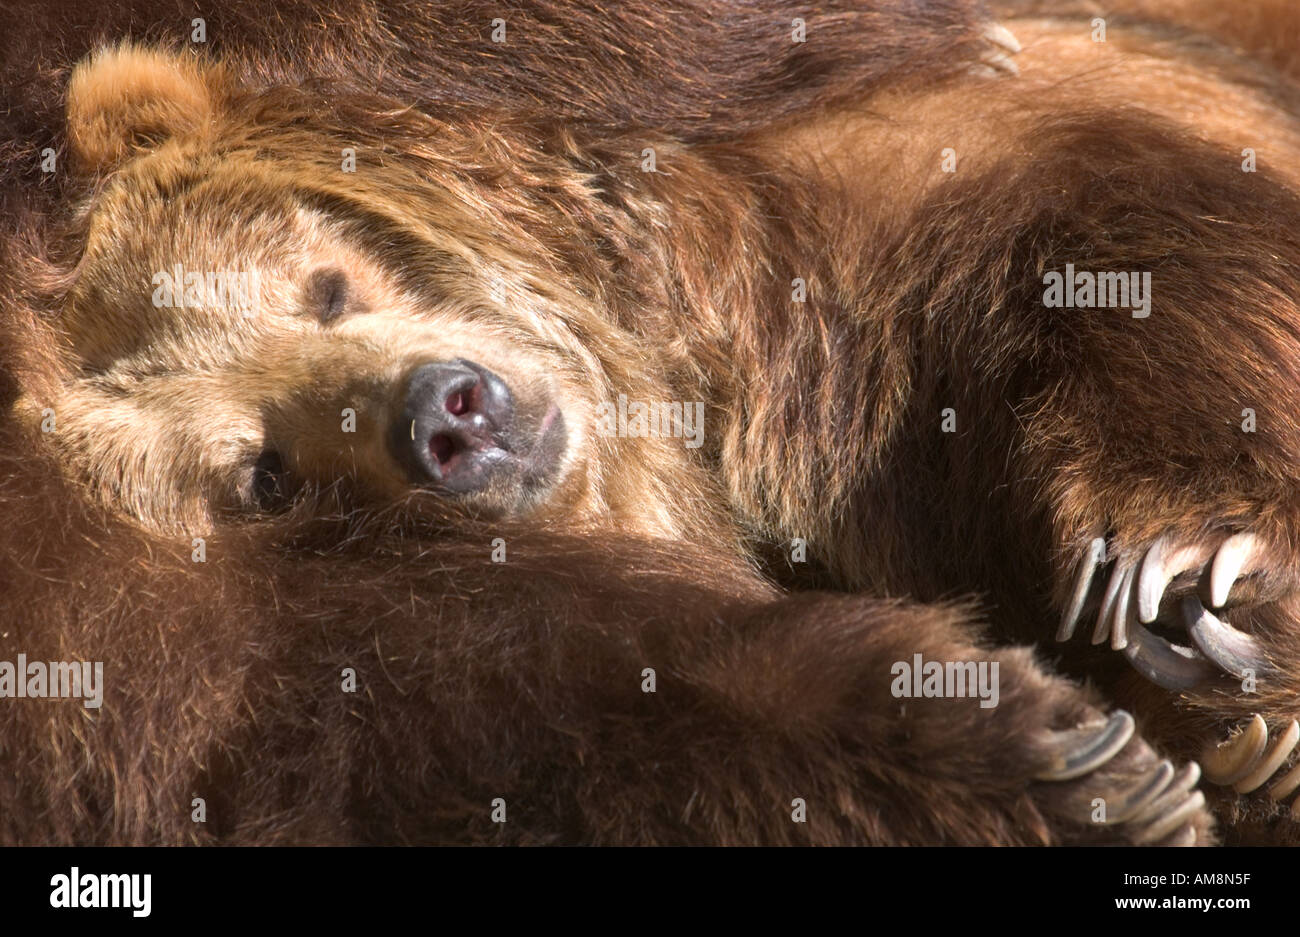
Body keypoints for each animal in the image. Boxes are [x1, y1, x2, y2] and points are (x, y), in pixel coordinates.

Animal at [5, 0, 1298, 844]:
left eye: (326, 284)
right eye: (263, 472)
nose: (449, 418)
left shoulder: (786, 199)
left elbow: (1102, 222)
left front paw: (1192, 581)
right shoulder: (169, 637)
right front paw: (1054, 757)